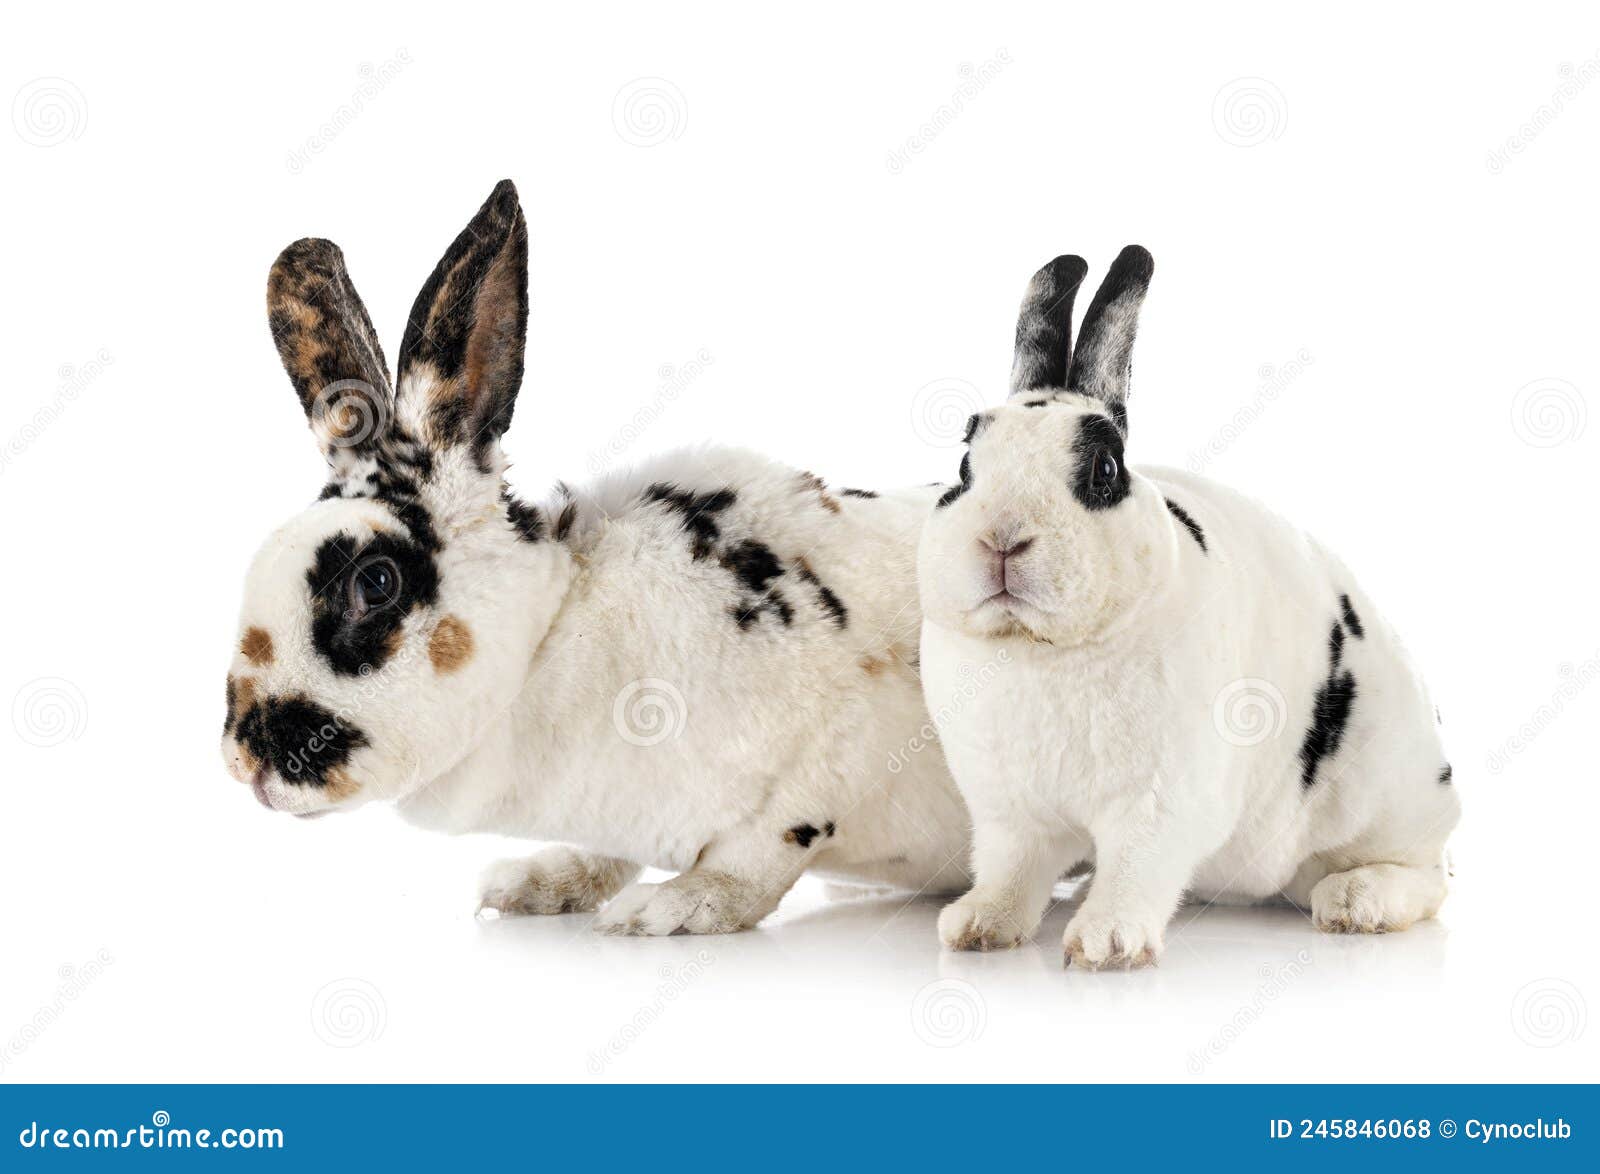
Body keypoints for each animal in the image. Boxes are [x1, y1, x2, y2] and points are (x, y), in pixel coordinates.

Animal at [219, 180, 973, 934]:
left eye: (376, 582)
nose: (247, 760)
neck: (548, 643)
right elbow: (607, 858)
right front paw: (531, 885)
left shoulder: (827, 751)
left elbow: (759, 854)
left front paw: (676, 908)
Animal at [917, 246, 1460, 967]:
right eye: (965, 467)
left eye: (1105, 470)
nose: (1001, 539)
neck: (1042, 651)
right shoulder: (1011, 813)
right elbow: (1012, 871)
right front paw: (976, 928)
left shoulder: (1161, 805)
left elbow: (1134, 869)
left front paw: (1106, 944)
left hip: (1392, 798)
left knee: (1428, 877)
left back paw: (1354, 903)